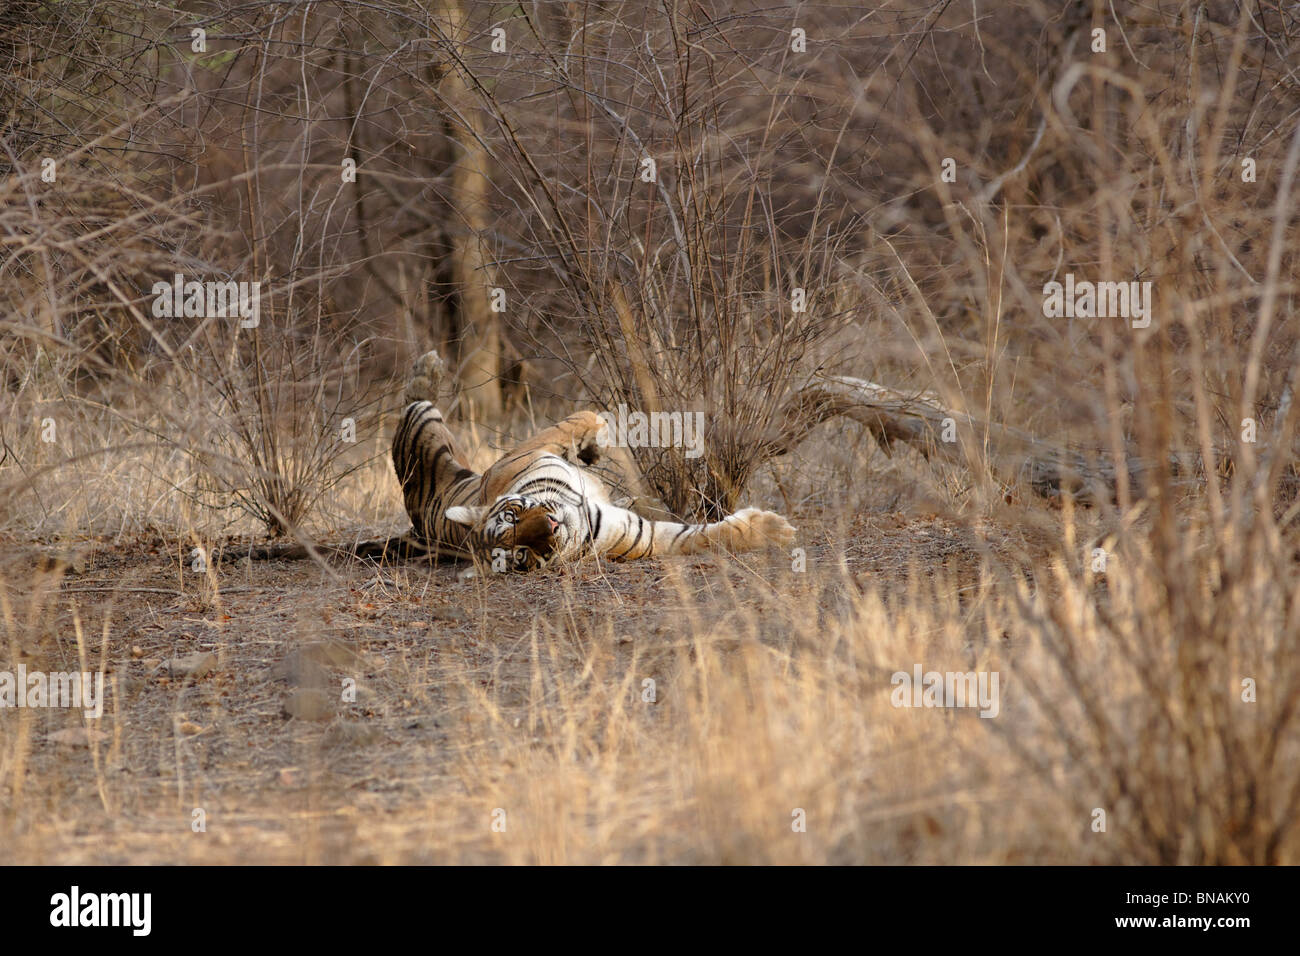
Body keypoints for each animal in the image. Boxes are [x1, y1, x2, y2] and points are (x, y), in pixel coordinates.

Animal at [391, 350, 796, 572]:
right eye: (521, 554)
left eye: (511, 516)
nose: (551, 527)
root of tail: (417, 524)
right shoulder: (649, 537)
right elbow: (697, 539)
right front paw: (778, 529)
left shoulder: (524, 453)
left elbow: (580, 419)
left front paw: (773, 531)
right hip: (418, 435)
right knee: (413, 400)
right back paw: (427, 370)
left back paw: (429, 366)